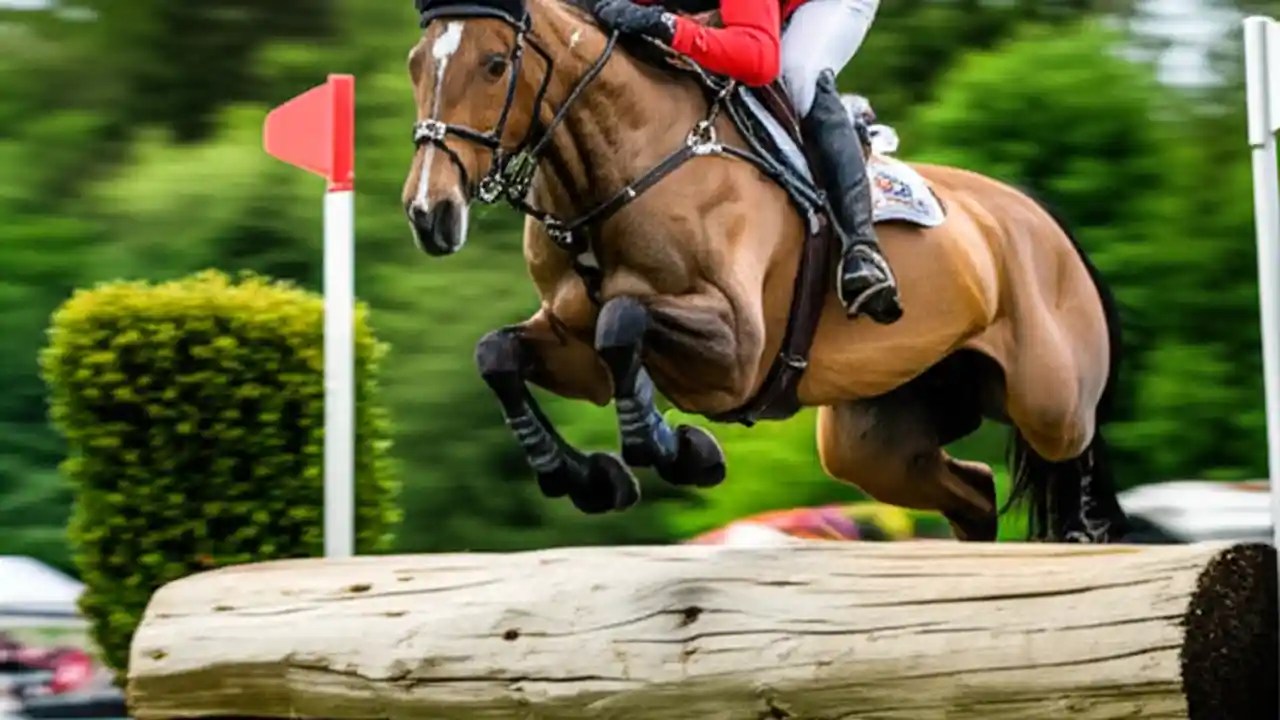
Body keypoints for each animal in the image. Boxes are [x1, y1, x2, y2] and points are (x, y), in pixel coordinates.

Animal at [400, 0, 1132, 543]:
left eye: (495, 64)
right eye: (415, 66)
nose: (429, 214)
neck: (620, 168)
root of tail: (1043, 221)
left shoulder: (737, 349)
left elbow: (622, 321)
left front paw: (678, 447)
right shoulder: (573, 345)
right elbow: (499, 353)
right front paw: (589, 478)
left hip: (1051, 405)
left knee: (1075, 482)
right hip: (877, 437)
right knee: (973, 493)